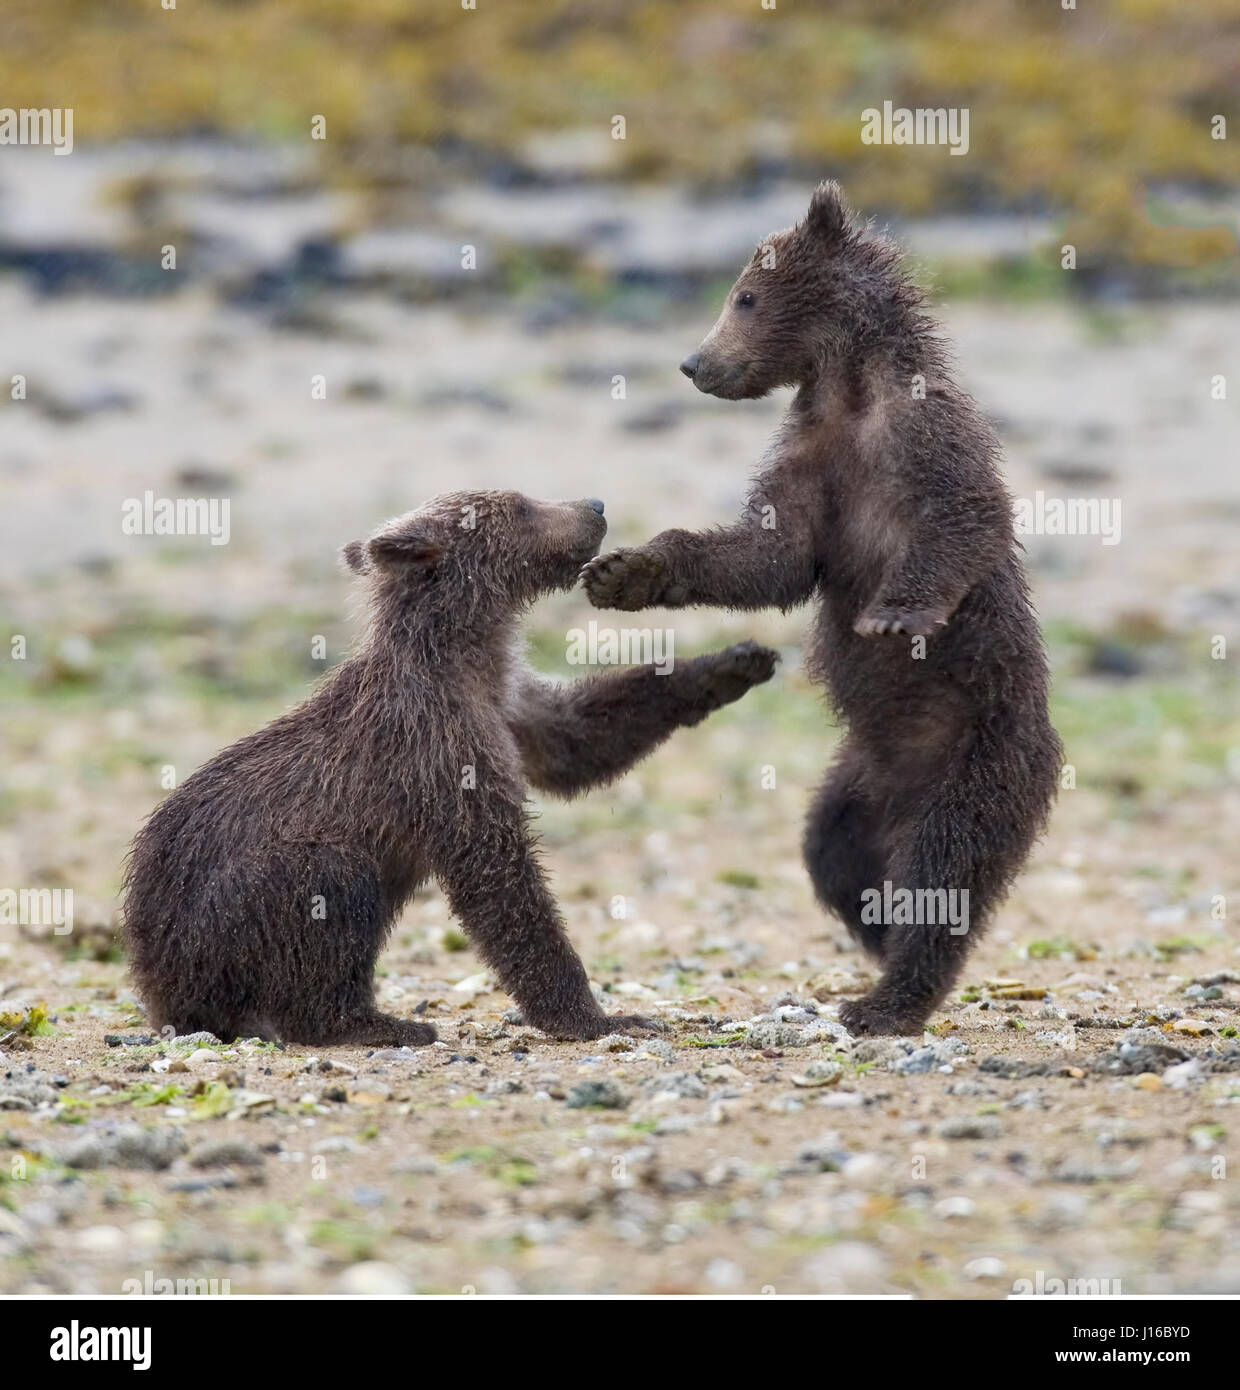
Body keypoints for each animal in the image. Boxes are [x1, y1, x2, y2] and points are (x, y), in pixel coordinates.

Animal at [122, 490, 778, 1047]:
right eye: (520, 505)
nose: (594, 504)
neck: (463, 661)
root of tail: (159, 989)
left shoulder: (507, 707)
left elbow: (576, 739)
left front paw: (731, 664)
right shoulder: (435, 749)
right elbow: (497, 878)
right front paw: (598, 1016)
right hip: (226, 913)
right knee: (330, 887)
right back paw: (378, 1024)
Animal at [583, 181, 1061, 1036]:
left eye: (743, 295)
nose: (694, 363)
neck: (851, 392)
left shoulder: (927, 440)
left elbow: (965, 521)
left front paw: (895, 616)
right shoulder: (812, 461)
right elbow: (766, 555)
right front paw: (626, 571)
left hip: (978, 760)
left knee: (945, 871)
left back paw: (888, 999)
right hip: (858, 781)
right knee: (832, 854)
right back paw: (875, 938)